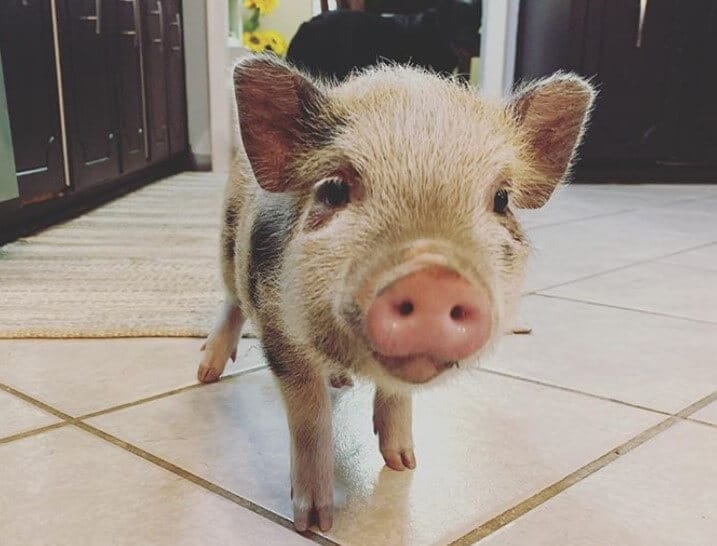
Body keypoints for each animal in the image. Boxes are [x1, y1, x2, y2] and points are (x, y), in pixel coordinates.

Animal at [197, 54, 594, 532]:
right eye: (334, 189)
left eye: (501, 199)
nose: (433, 275)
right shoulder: (279, 331)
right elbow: (310, 417)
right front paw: (314, 522)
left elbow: (396, 395)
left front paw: (404, 464)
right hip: (228, 247)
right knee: (230, 301)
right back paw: (205, 374)